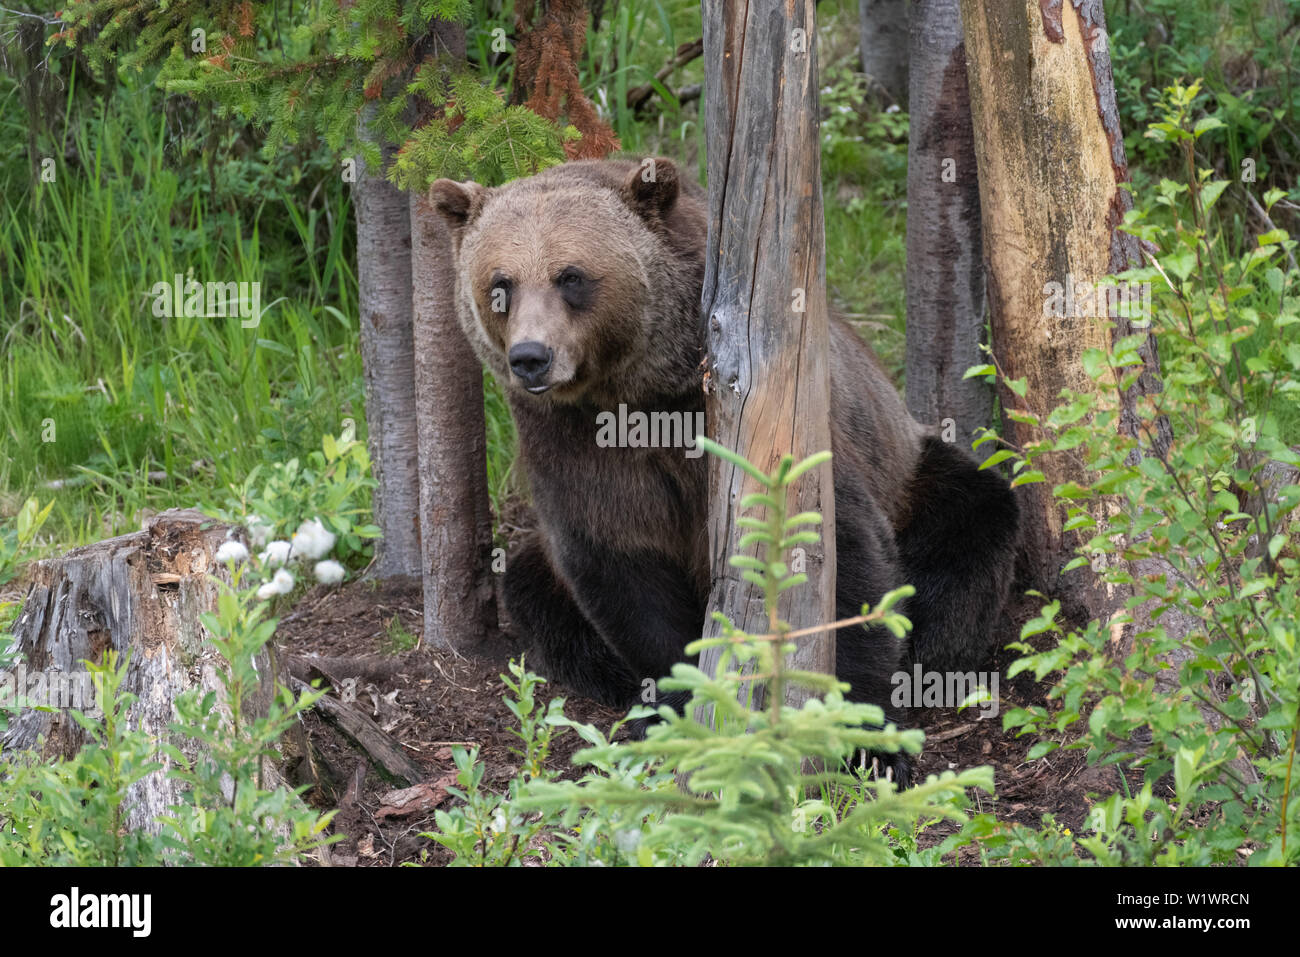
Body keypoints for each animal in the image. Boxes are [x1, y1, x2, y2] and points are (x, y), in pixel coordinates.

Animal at [430, 157, 1020, 769]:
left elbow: (839, 551)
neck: (639, 397)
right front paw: (682, 705)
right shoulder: (574, 447)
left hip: (908, 468)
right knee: (533, 591)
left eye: (571, 276)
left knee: (971, 525)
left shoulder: (759, 422)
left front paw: (868, 739)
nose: (531, 357)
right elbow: (621, 569)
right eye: (500, 284)